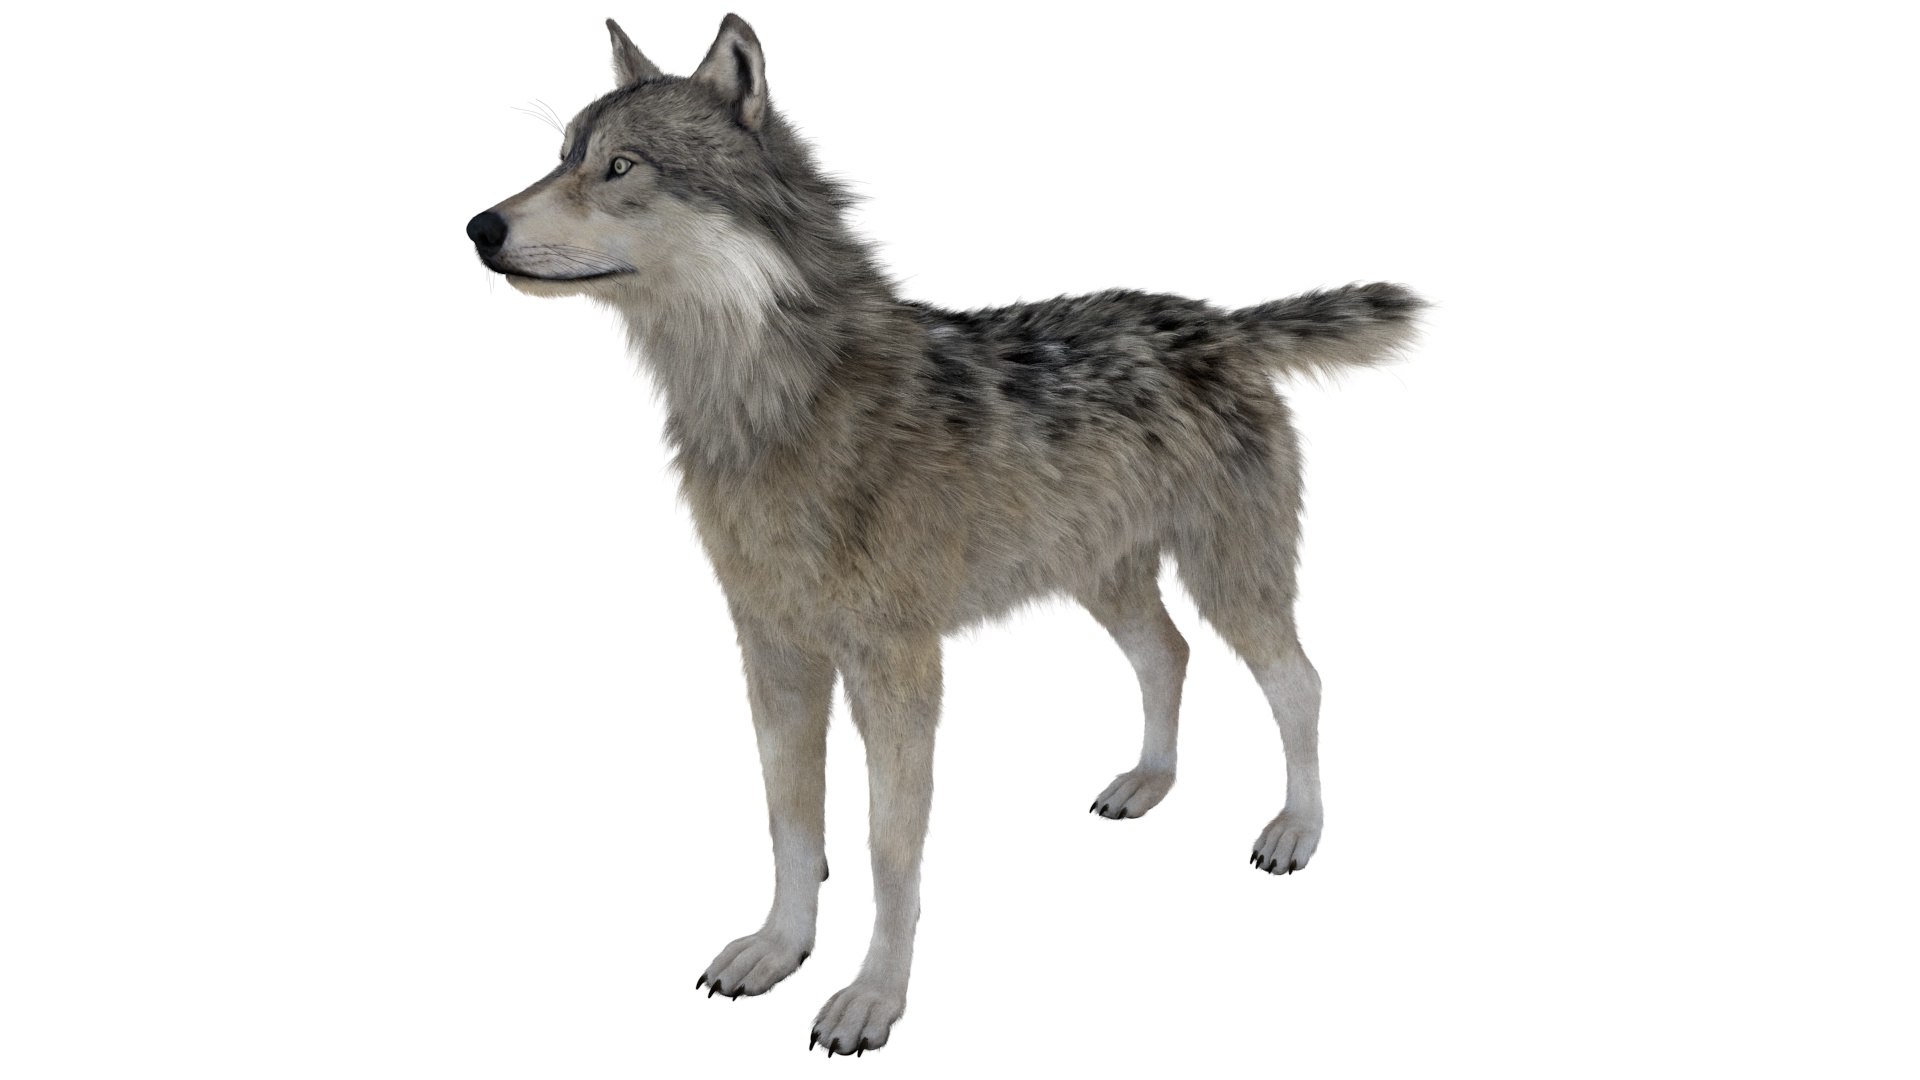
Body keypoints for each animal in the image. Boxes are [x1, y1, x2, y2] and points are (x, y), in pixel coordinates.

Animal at [467, 14, 1423, 1056]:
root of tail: (1221, 321)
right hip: (1105, 579)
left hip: (1229, 579)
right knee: (1168, 656)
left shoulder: (898, 667)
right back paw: (1147, 782)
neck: (769, 407)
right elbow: (790, 824)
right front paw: (778, 947)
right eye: (562, 156)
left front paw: (871, 999)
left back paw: (1297, 830)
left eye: (619, 166)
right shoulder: (774, 651)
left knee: (1300, 683)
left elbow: (890, 853)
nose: (480, 228)